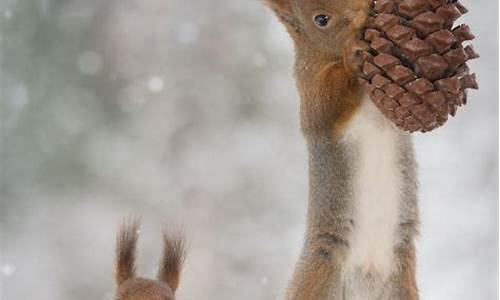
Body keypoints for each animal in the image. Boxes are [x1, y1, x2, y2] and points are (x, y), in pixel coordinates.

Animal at [266, 0, 418, 298]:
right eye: (321, 19)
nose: (366, 6)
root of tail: (367, 276)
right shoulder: (310, 91)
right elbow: (328, 106)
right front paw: (353, 56)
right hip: (320, 277)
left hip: (402, 286)